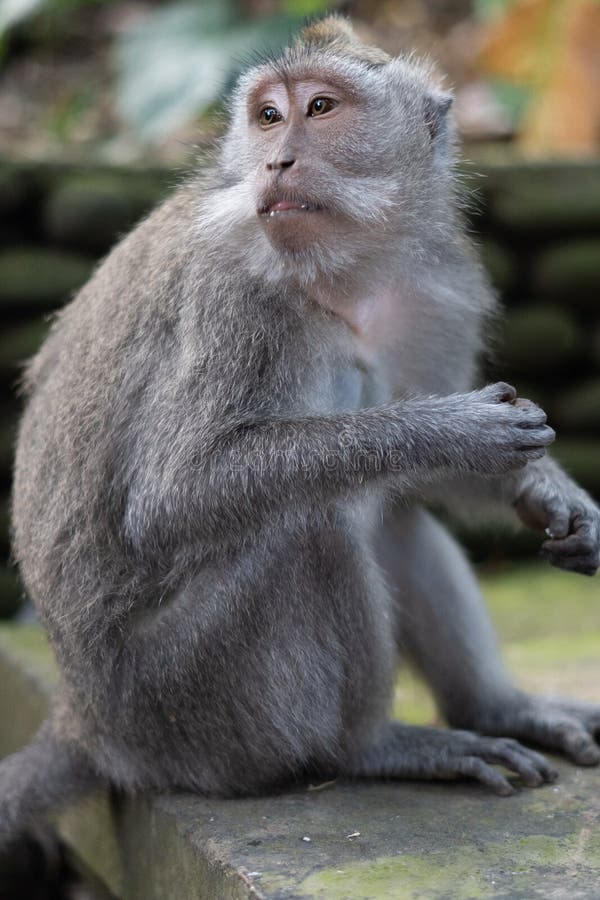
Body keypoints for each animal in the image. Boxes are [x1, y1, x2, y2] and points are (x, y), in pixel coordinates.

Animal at [3, 15, 600, 843]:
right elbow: (173, 495)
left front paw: (548, 491)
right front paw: (445, 428)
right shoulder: (234, 298)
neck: (344, 275)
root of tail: (85, 725)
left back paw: (500, 710)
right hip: (188, 709)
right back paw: (377, 745)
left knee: (389, 515)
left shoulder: (437, 289)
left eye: (321, 108)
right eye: (267, 116)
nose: (276, 160)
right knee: (310, 527)